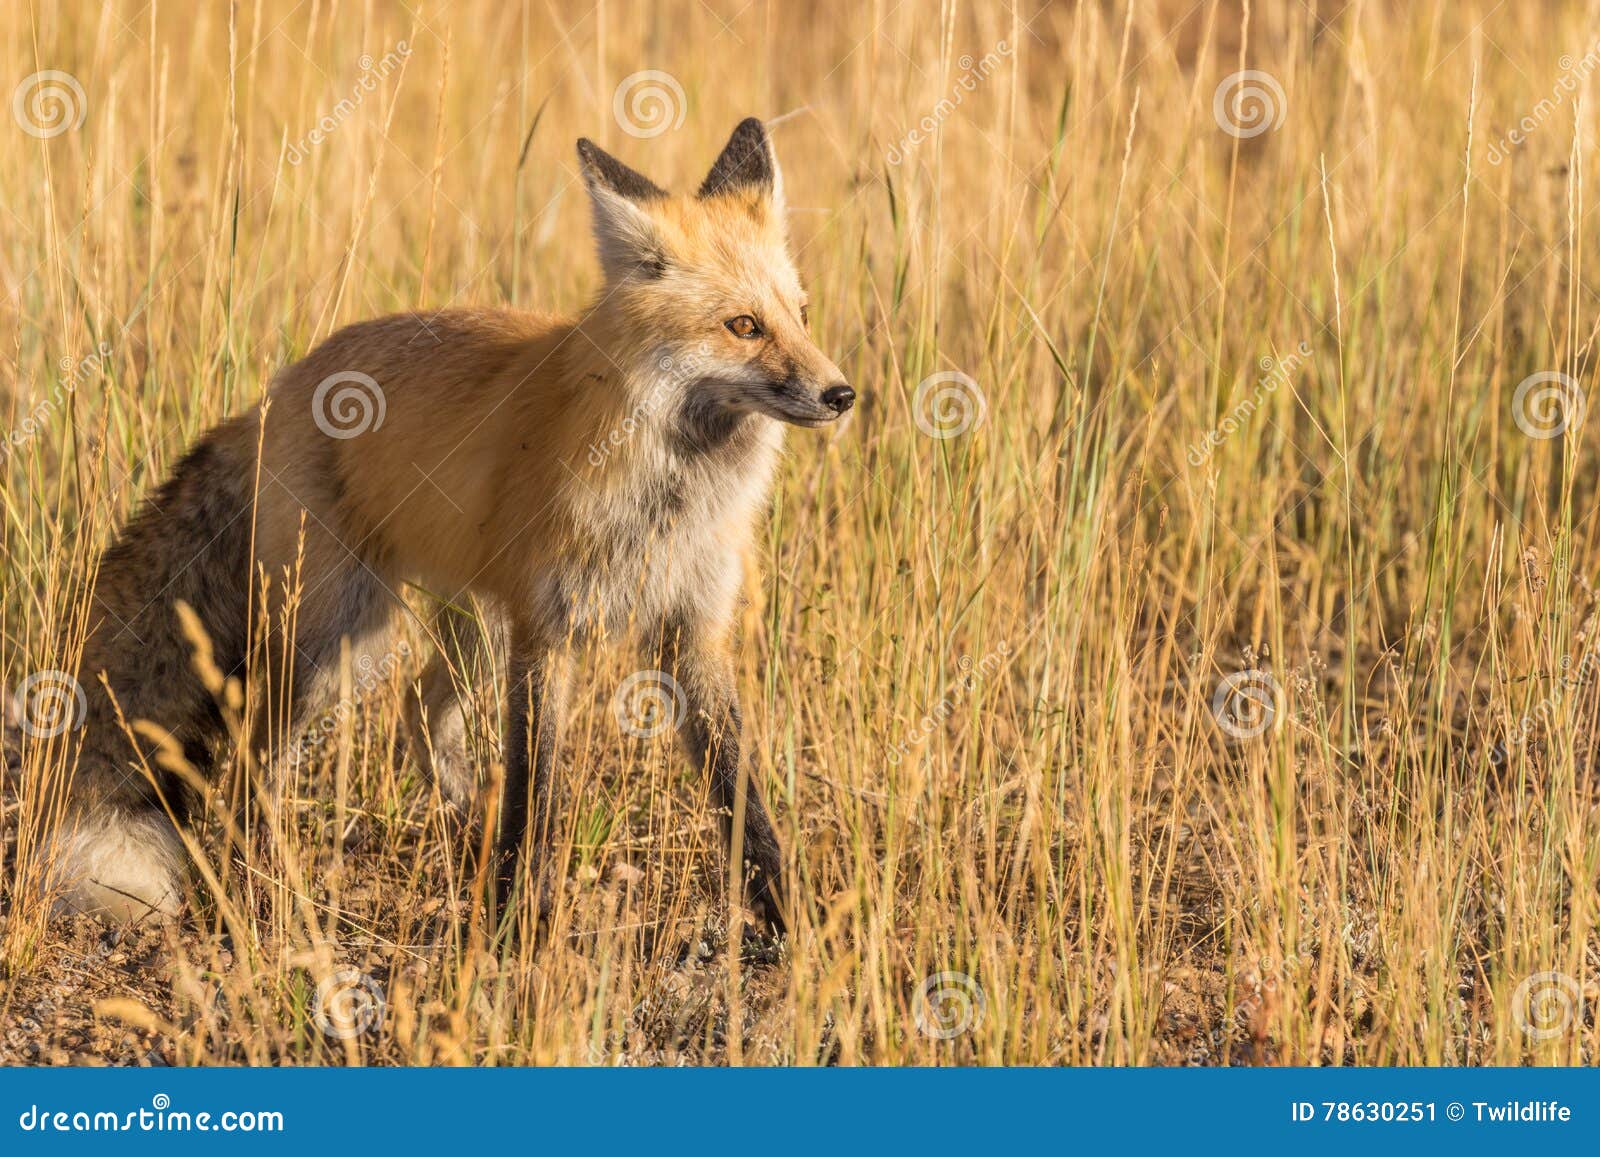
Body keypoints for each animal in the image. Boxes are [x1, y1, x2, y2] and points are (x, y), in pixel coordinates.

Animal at [26, 117, 853, 937]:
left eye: (803, 313)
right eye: (743, 326)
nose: (841, 393)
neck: (672, 493)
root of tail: (273, 392)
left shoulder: (691, 632)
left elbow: (740, 796)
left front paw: (788, 917)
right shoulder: (547, 633)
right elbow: (536, 791)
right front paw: (522, 923)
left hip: (472, 629)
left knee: (416, 717)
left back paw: (461, 834)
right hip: (334, 642)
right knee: (255, 761)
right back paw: (259, 891)